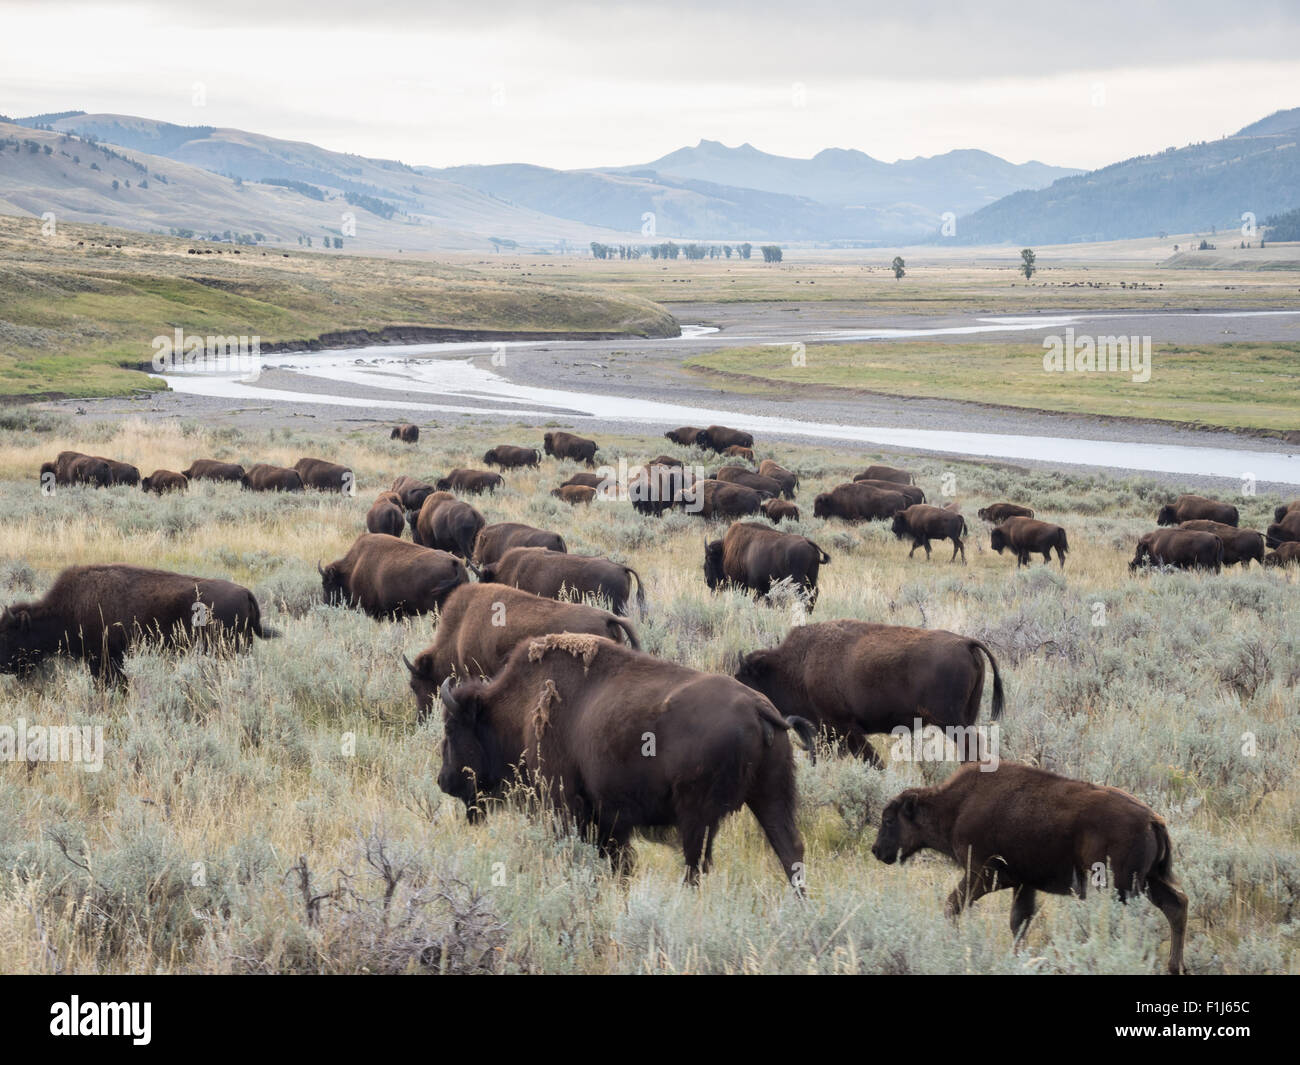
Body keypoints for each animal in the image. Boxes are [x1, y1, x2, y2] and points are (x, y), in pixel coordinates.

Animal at [436, 633, 812, 885]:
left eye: (451, 729)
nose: (443, 780)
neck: (520, 707)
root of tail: (759, 707)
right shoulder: (609, 819)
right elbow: (619, 862)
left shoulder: (564, 802)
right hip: (770, 795)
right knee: (789, 849)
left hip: (698, 813)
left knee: (696, 863)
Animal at [736, 620, 1003, 764]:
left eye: (745, 677)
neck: (800, 664)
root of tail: (966, 643)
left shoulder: (844, 728)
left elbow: (871, 759)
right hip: (966, 715)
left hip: (949, 720)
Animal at [871, 763, 1187, 975]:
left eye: (889, 820)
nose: (876, 850)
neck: (956, 807)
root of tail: (1153, 820)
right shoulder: (1024, 884)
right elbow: (1018, 922)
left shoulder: (983, 875)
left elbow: (953, 906)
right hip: (1148, 881)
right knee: (1177, 905)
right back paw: (1175, 966)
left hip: (1121, 887)